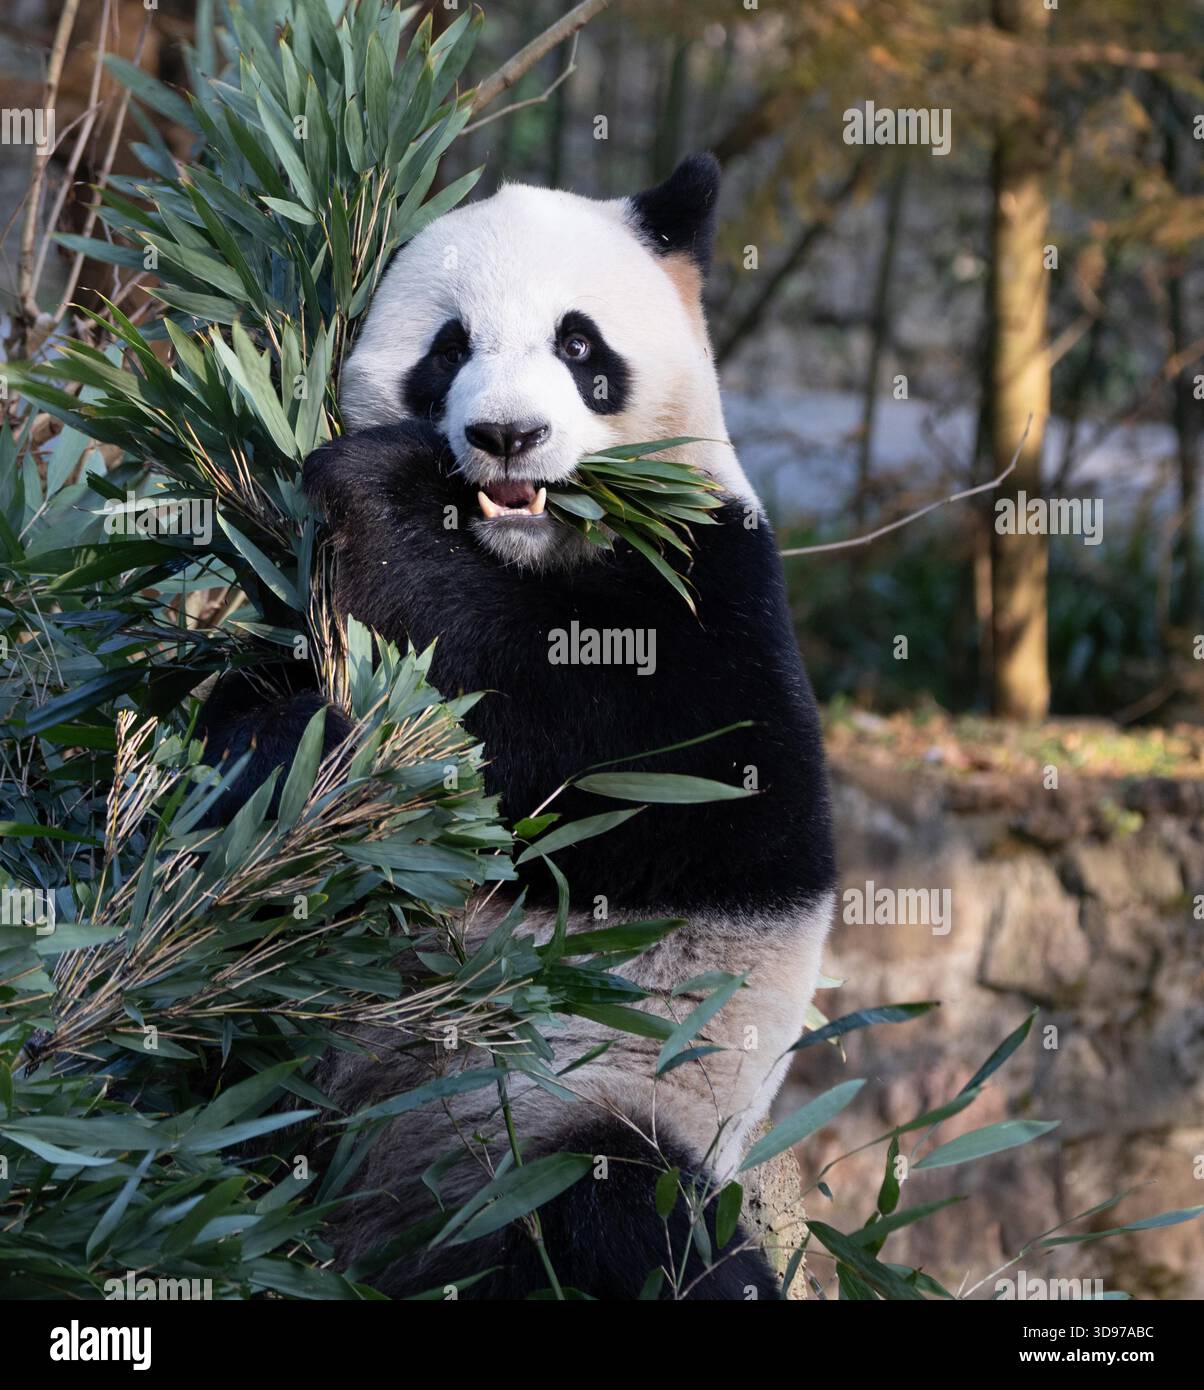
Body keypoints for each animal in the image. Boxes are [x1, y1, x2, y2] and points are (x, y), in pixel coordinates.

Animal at [202, 153, 836, 1300]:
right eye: (450, 347)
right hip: (283, 1046)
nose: (505, 436)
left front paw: (381, 487)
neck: (532, 547)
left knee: (630, 1219)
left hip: (585, 1099)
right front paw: (275, 744)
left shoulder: (713, 585)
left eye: (579, 345)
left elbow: (587, 758)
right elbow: (252, 712)